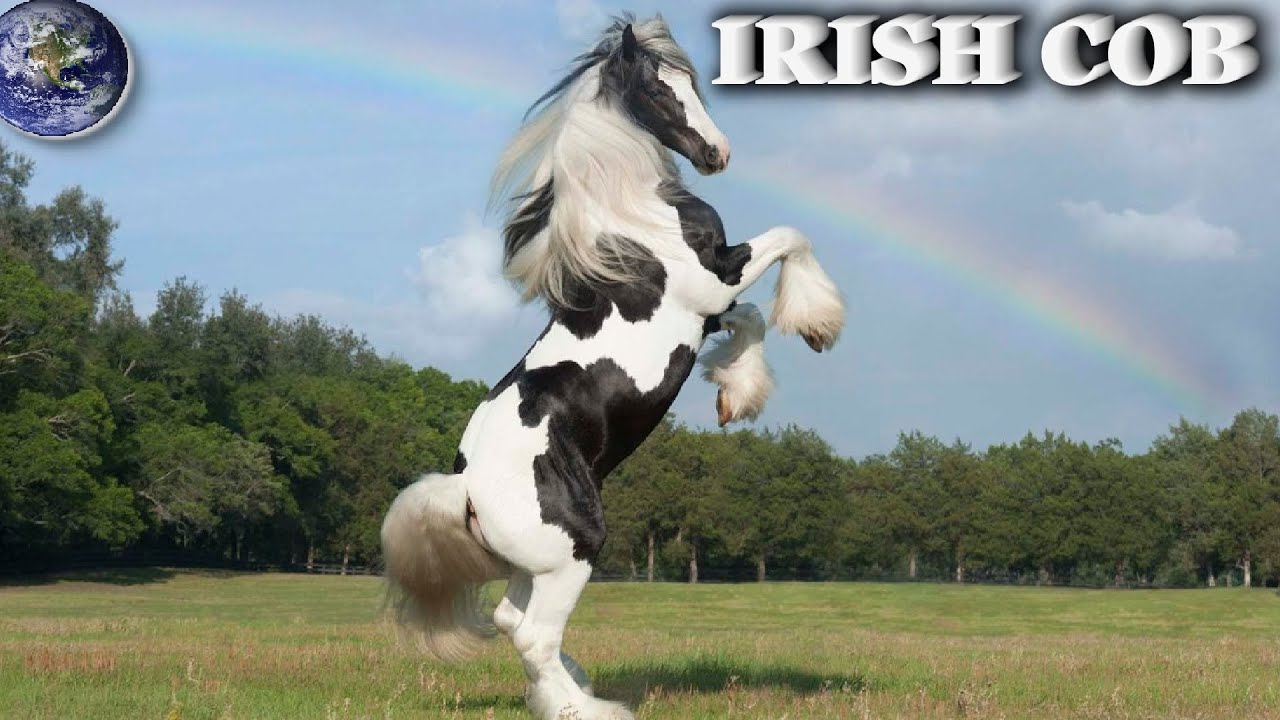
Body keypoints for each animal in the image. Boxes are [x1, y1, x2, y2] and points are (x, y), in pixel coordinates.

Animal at [381, 15, 845, 720]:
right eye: (657, 89)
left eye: (691, 82)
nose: (718, 154)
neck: (632, 219)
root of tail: (463, 490)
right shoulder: (714, 281)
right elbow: (792, 237)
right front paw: (819, 322)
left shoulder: (711, 310)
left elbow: (752, 320)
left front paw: (735, 393)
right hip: (575, 549)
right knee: (535, 635)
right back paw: (587, 709)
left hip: (535, 566)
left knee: (515, 624)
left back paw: (575, 692)